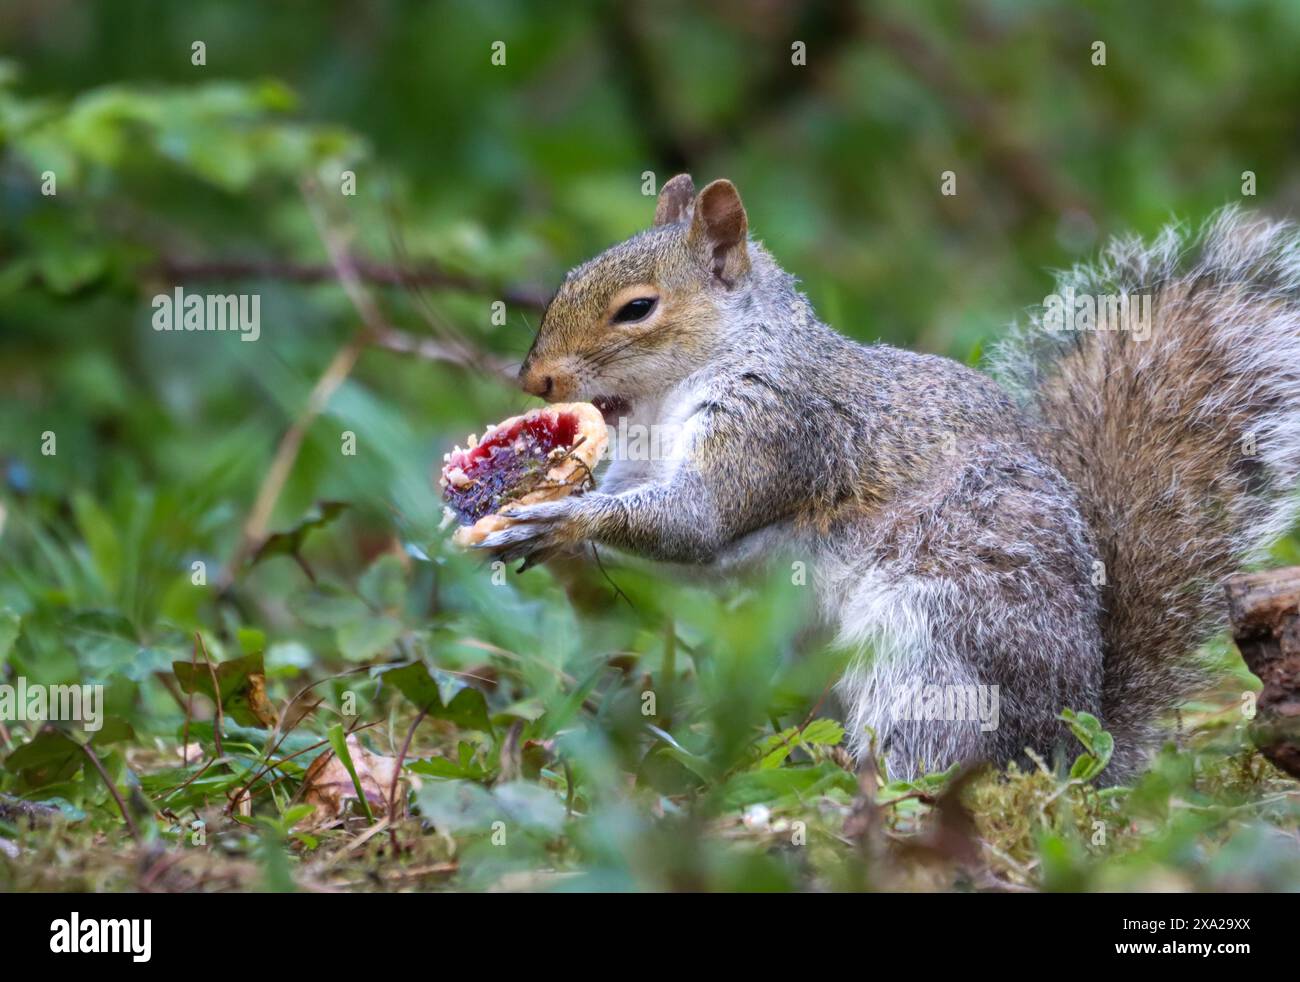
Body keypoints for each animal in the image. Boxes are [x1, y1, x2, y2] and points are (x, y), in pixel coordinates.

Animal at [481, 173, 1300, 784]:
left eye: (638, 308)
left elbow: (696, 522)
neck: (672, 394)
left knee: (934, 751)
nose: (534, 380)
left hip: (933, 640)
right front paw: (535, 526)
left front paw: (559, 519)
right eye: (570, 279)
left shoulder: (781, 426)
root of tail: (1071, 748)